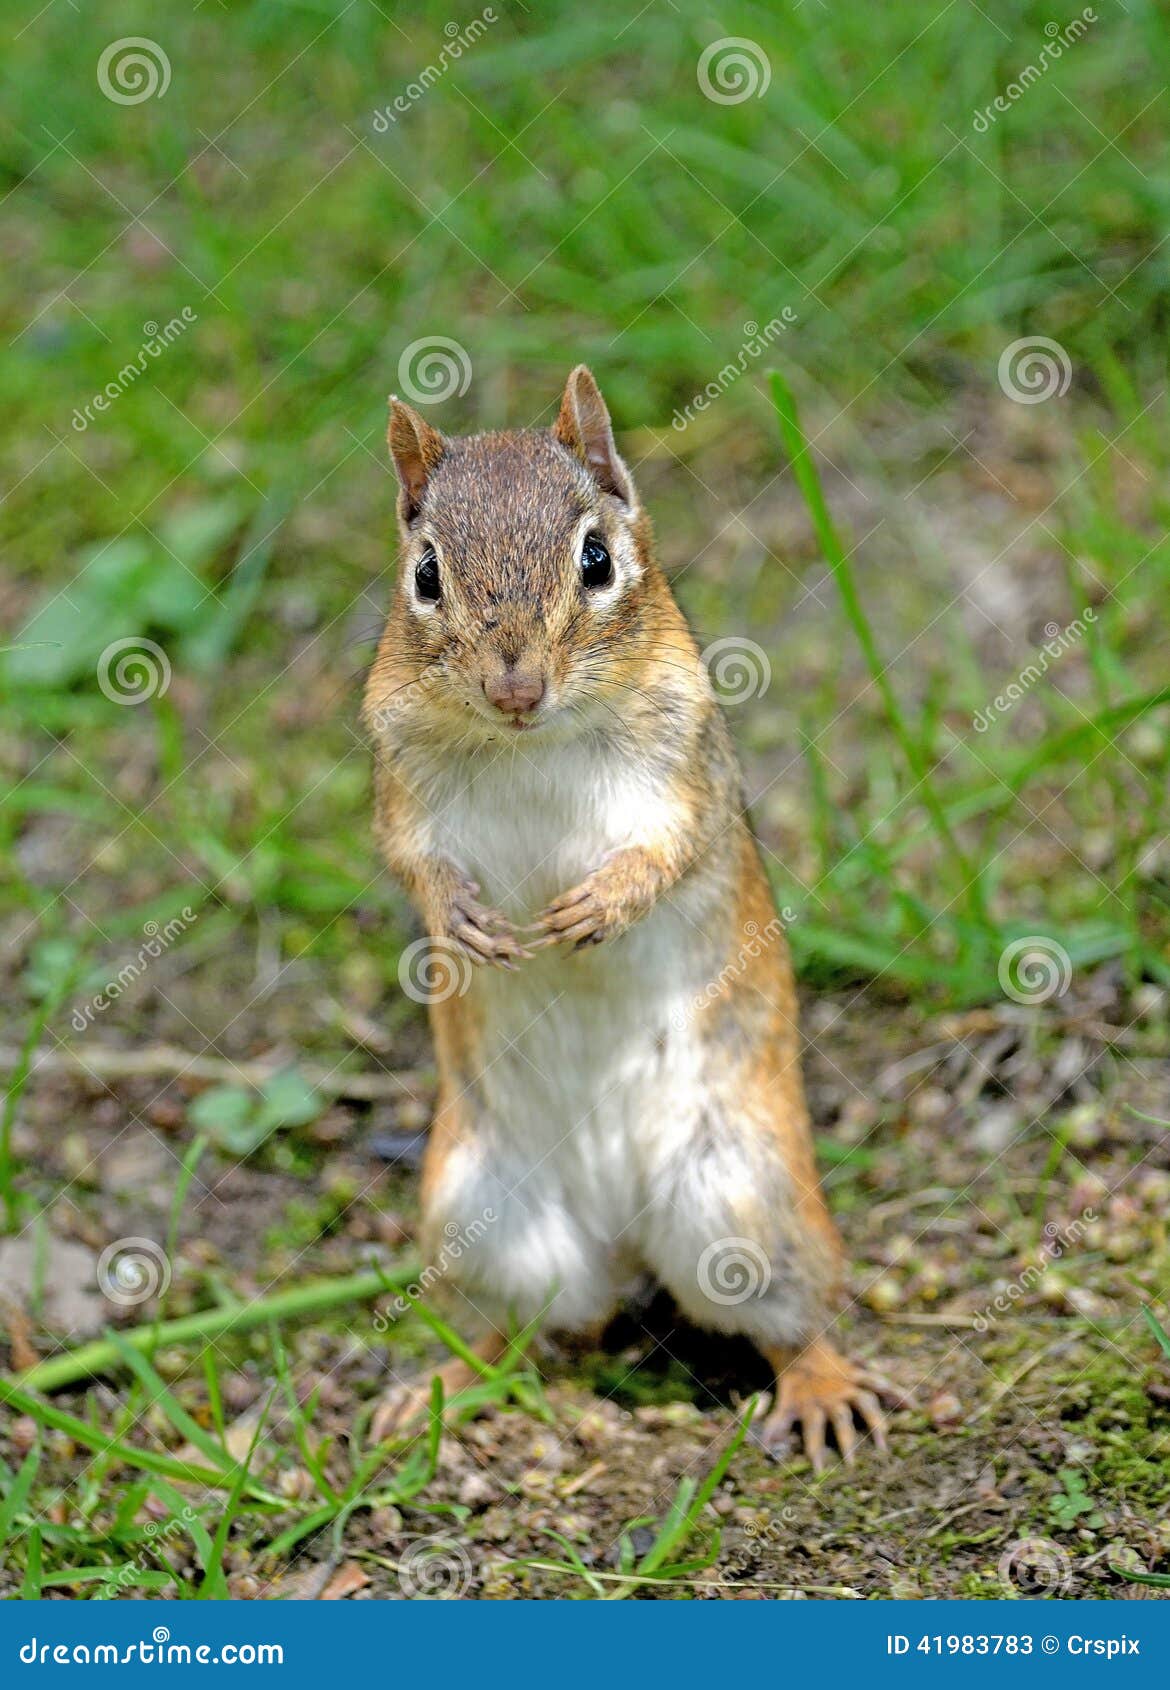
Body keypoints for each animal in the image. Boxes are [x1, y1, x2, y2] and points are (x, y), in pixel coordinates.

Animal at [361, 366, 892, 1469]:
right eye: (425, 575)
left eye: (597, 559)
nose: (515, 686)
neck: (526, 744)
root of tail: (621, 1225)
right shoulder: (397, 774)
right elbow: (410, 859)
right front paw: (459, 921)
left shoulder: (687, 765)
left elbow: (670, 848)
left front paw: (601, 903)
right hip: (483, 1219)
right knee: (513, 1330)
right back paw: (438, 1386)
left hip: (749, 1199)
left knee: (795, 1317)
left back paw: (822, 1386)